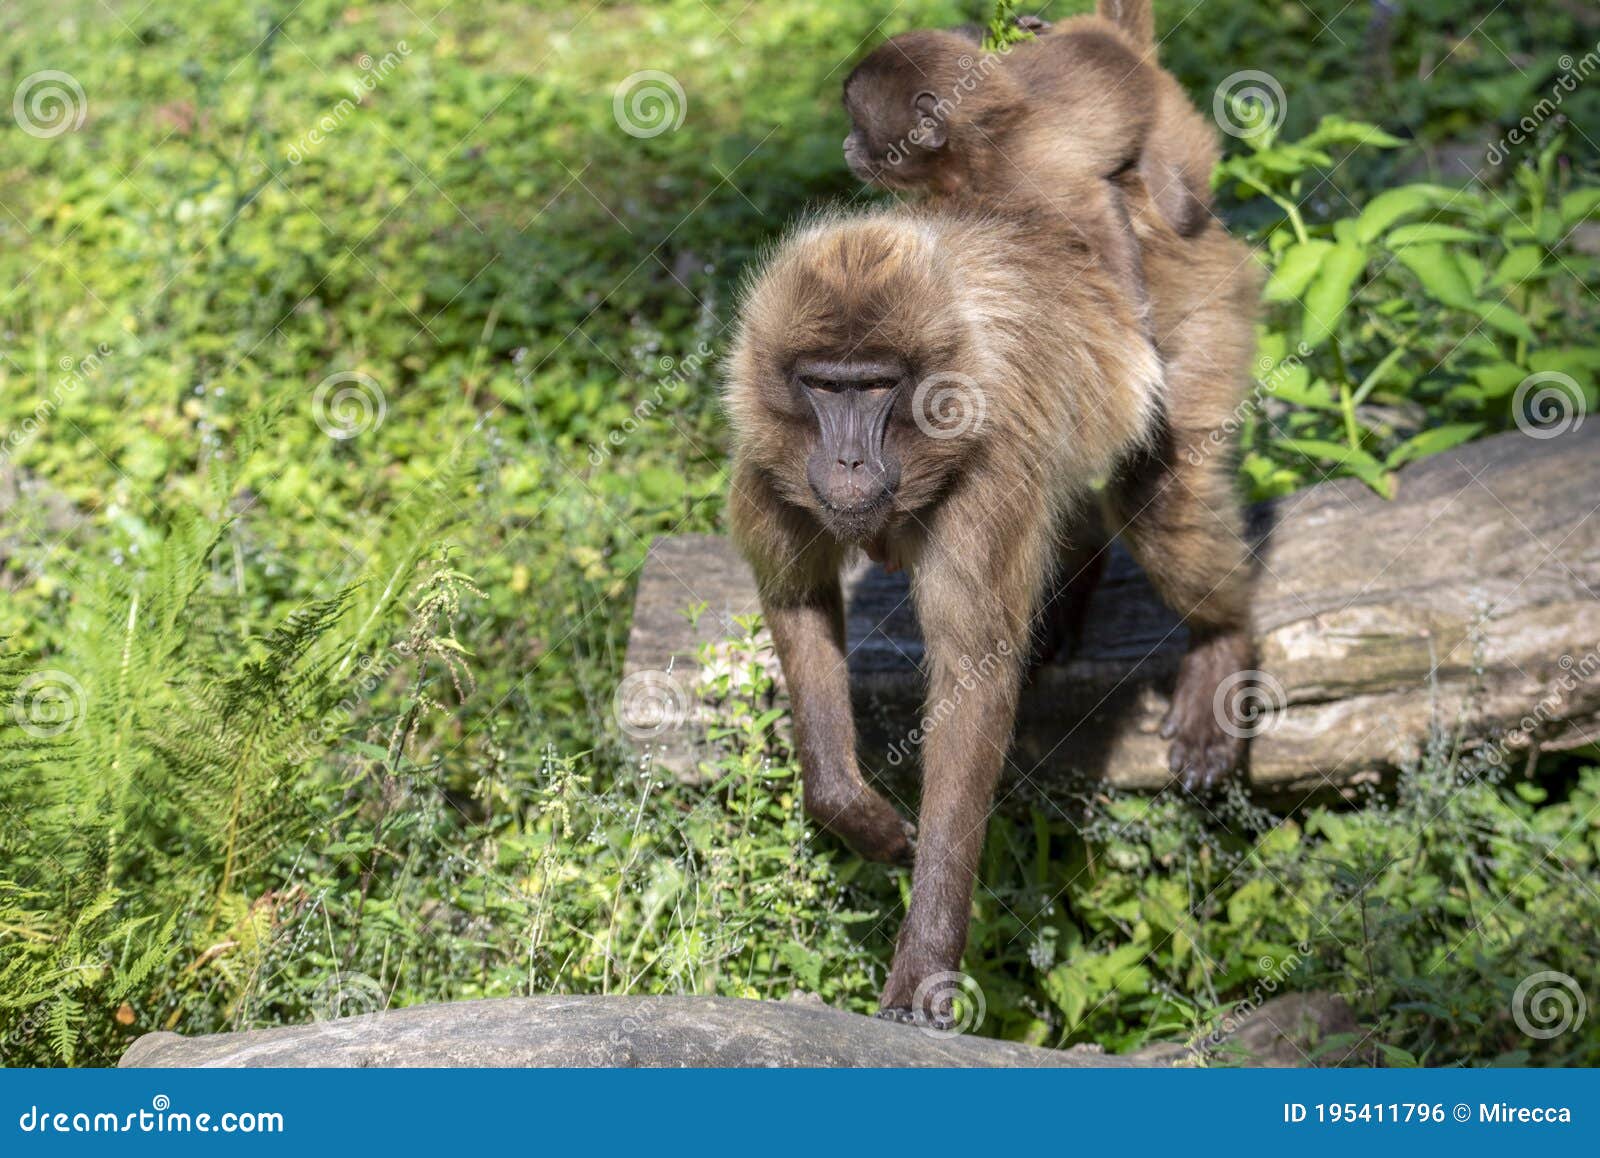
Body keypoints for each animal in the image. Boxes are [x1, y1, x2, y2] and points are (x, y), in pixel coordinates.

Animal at [724, 194, 1261, 1023]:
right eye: (823, 385)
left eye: (874, 387)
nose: (847, 460)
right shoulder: (767, 442)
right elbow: (798, 599)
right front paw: (850, 809)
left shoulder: (992, 462)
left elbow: (972, 680)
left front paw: (925, 962)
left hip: (1198, 317)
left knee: (1155, 498)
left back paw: (1223, 641)